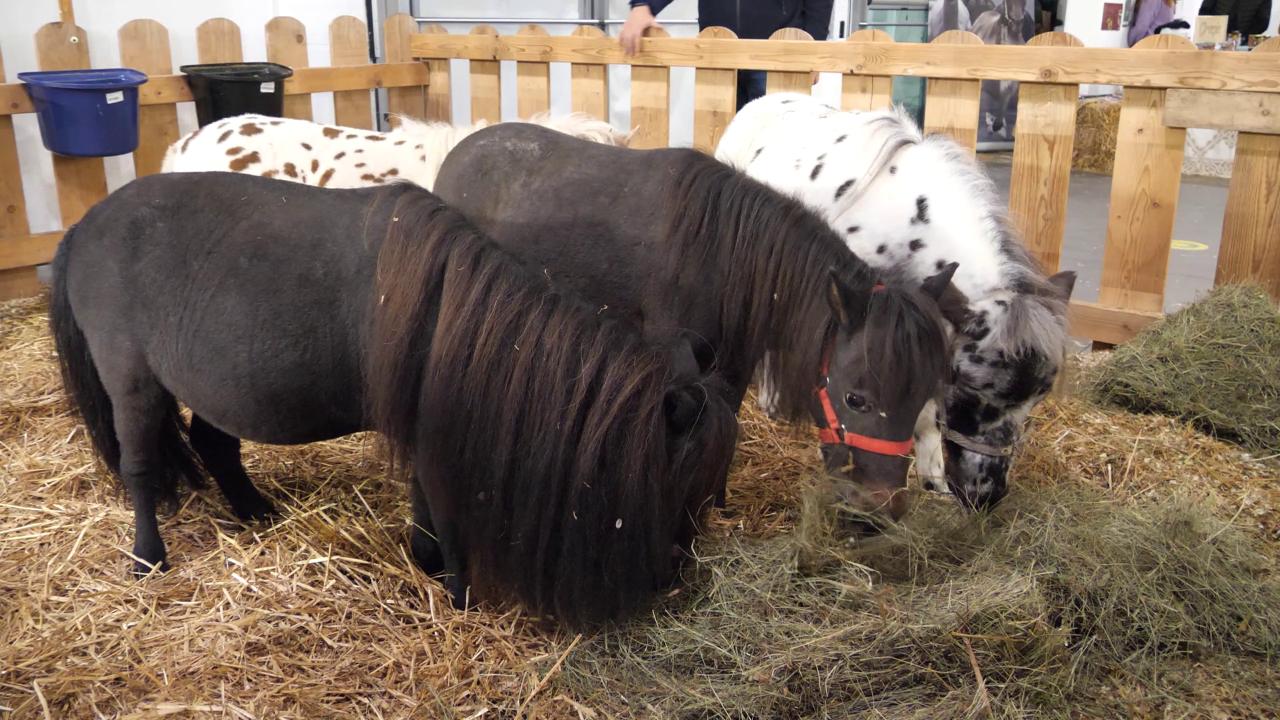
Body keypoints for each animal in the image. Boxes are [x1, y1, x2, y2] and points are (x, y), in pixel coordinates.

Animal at [49, 172, 738, 627]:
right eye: (676, 484)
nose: (676, 574)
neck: (458, 320)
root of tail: (83, 228)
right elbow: (445, 511)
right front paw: (459, 594)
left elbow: (427, 507)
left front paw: (429, 564)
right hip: (133, 385)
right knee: (141, 469)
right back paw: (148, 559)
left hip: (213, 388)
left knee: (214, 446)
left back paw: (253, 512)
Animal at [434, 123, 962, 522]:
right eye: (856, 398)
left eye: (922, 396)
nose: (883, 508)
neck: (723, 255)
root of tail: (457, 153)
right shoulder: (674, 354)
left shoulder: (732, 364)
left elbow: (726, 422)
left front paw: (716, 504)